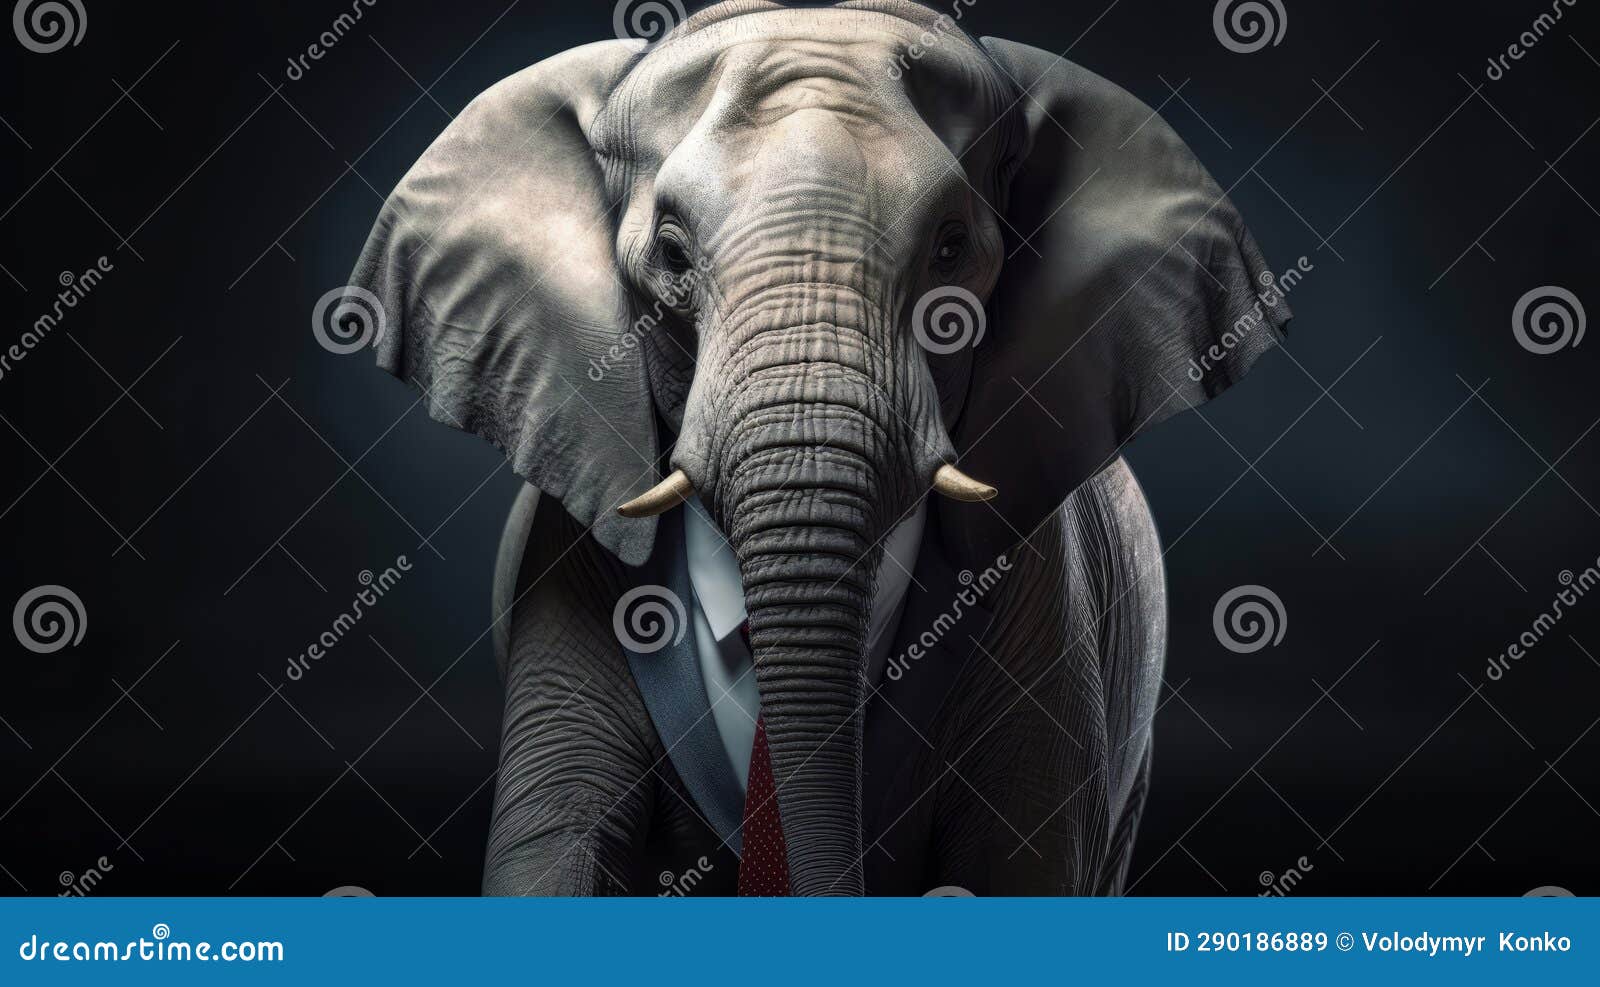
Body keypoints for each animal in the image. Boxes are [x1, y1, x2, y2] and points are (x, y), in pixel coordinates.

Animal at [346, 0, 1291, 895]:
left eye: (953, 249)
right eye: (671, 254)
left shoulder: (1049, 613)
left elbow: (1029, 868)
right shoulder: (568, 579)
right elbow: (550, 846)